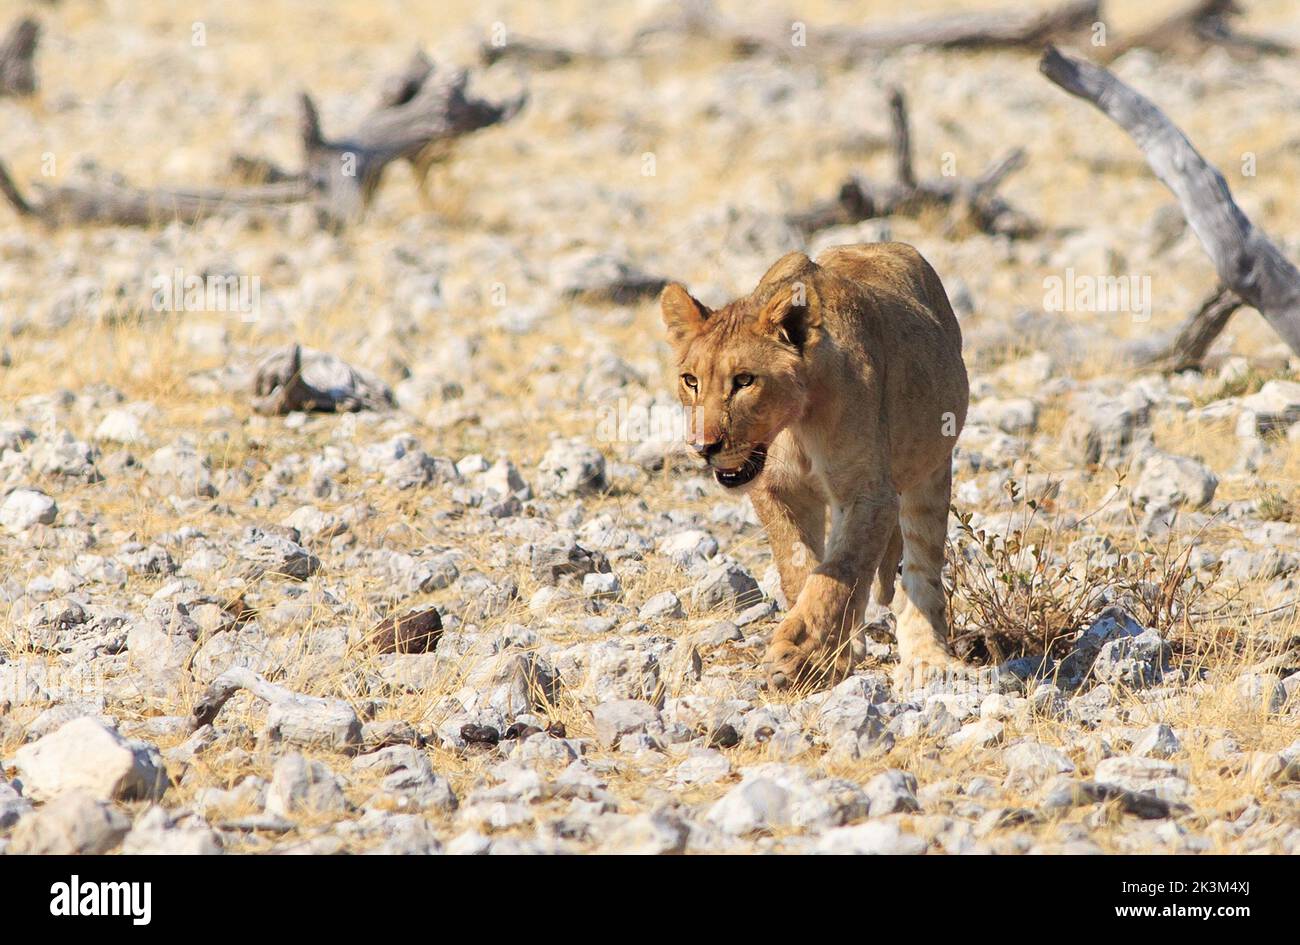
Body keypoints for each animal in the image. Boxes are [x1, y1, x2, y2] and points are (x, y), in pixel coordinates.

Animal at [660, 242, 969, 690]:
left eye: (745, 380)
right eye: (690, 380)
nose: (703, 447)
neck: (796, 422)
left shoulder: (869, 494)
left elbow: (838, 573)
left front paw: (796, 653)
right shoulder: (776, 490)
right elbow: (800, 568)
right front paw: (825, 658)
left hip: (930, 470)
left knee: (920, 569)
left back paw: (927, 660)